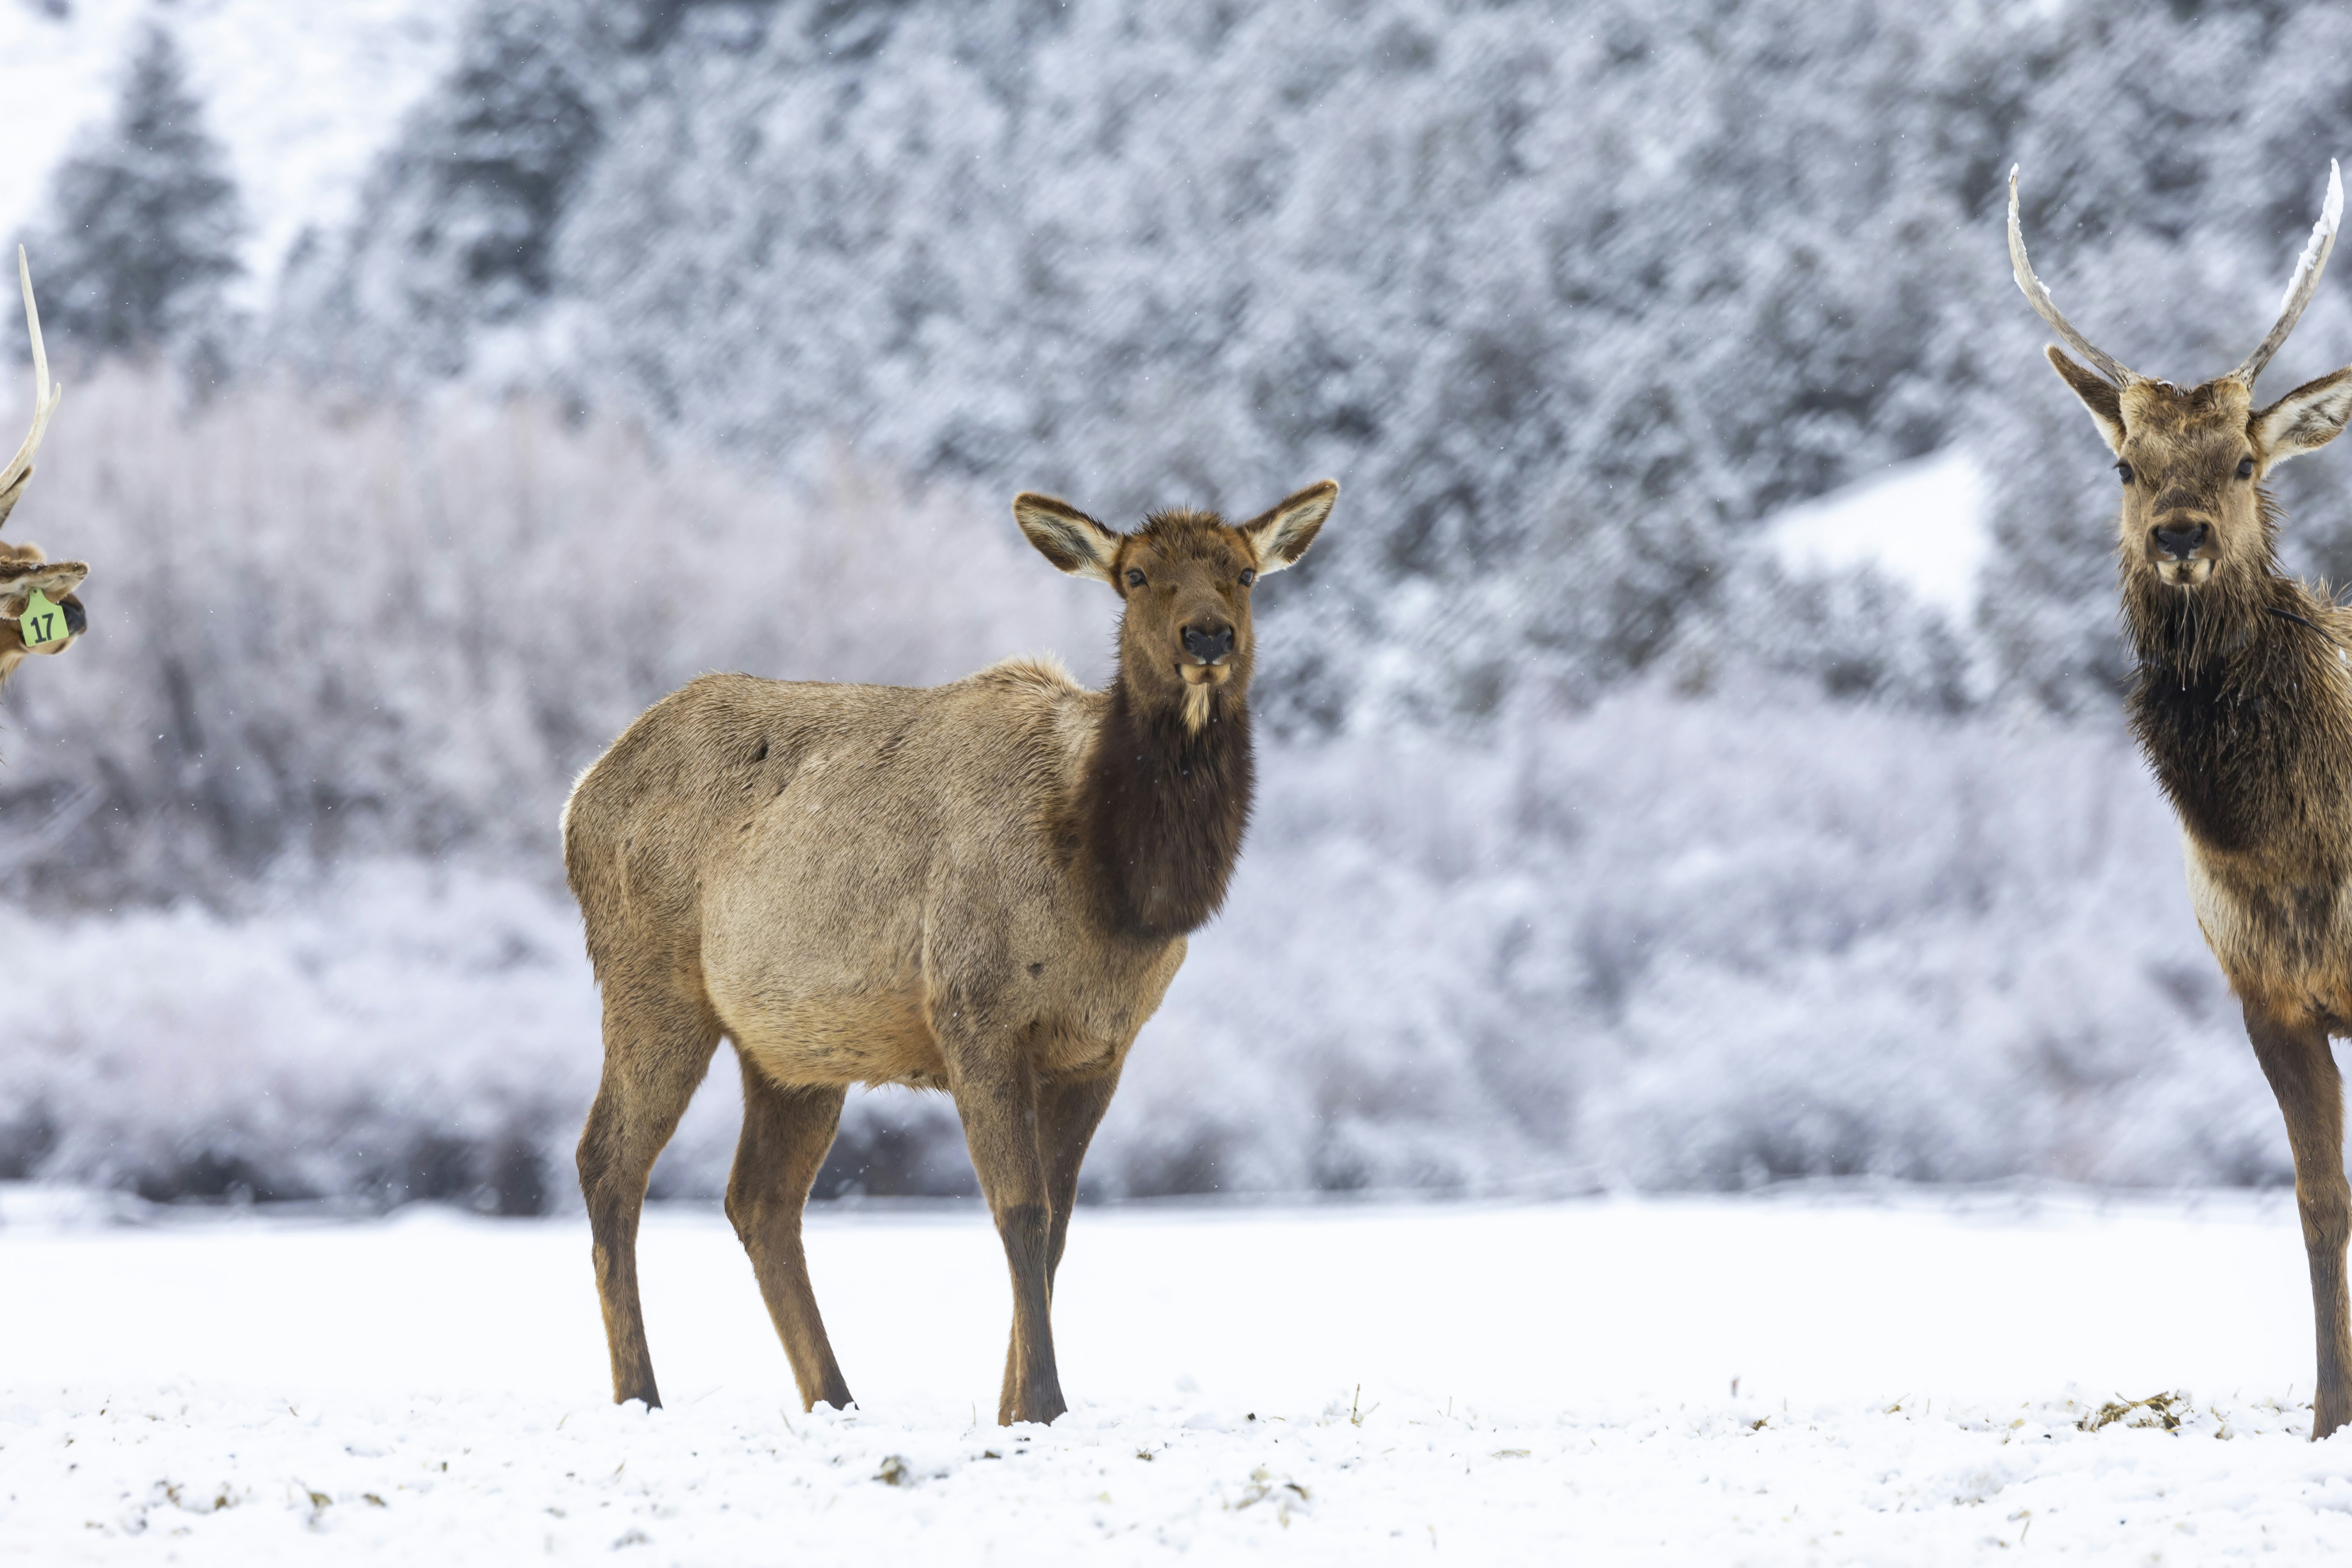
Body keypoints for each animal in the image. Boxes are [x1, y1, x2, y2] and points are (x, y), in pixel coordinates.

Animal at [561, 478, 1338, 1423]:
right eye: (1136, 575)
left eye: (1245, 573)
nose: (1208, 637)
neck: (1115, 890)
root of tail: (578, 793)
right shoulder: (975, 1007)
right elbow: (1019, 1209)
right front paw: (1042, 1402)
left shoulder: (1101, 1046)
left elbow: (1061, 1220)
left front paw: (1011, 1406)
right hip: (650, 980)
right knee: (607, 1160)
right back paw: (641, 1394)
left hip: (792, 1046)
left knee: (760, 1198)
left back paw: (836, 1398)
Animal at [2011, 161, 2352, 1439]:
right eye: (2127, 463)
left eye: (2246, 462)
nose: (2180, 534)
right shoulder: (2264, 988)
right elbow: (2317, 1196)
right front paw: (2329, 1414)